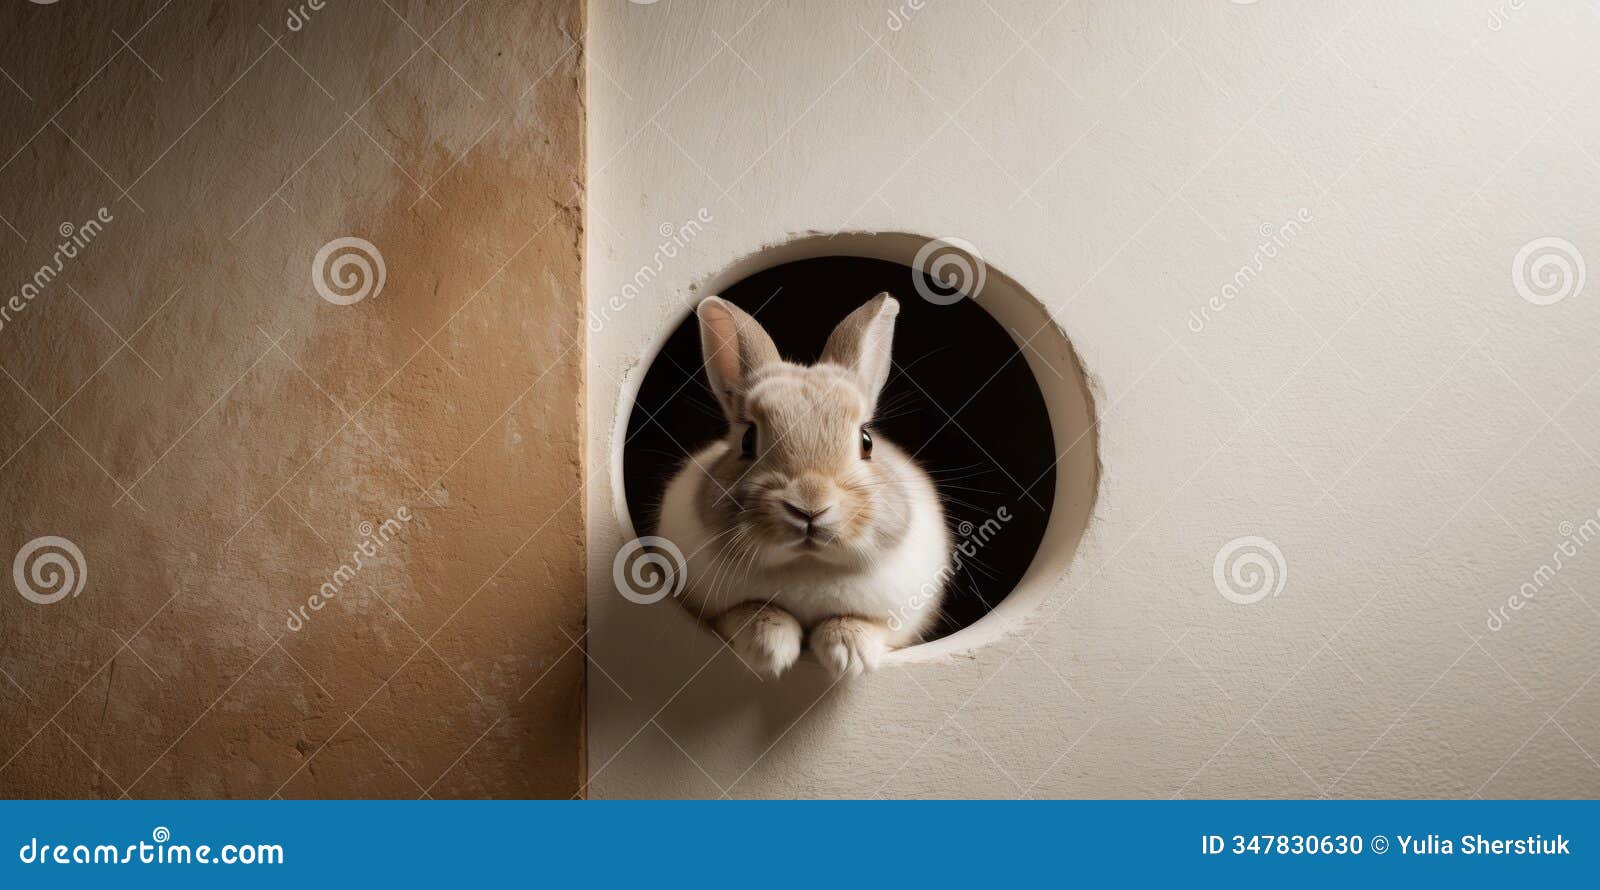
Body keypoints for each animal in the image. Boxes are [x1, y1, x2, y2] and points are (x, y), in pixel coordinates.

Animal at [655, 293, 951, 680]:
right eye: (748, 440)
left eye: (866, 442)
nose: (810, 505)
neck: (807, 563)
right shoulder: (709, 612)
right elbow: (747, 612)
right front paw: (769, 649)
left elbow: (865, 623)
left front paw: (849, 655)